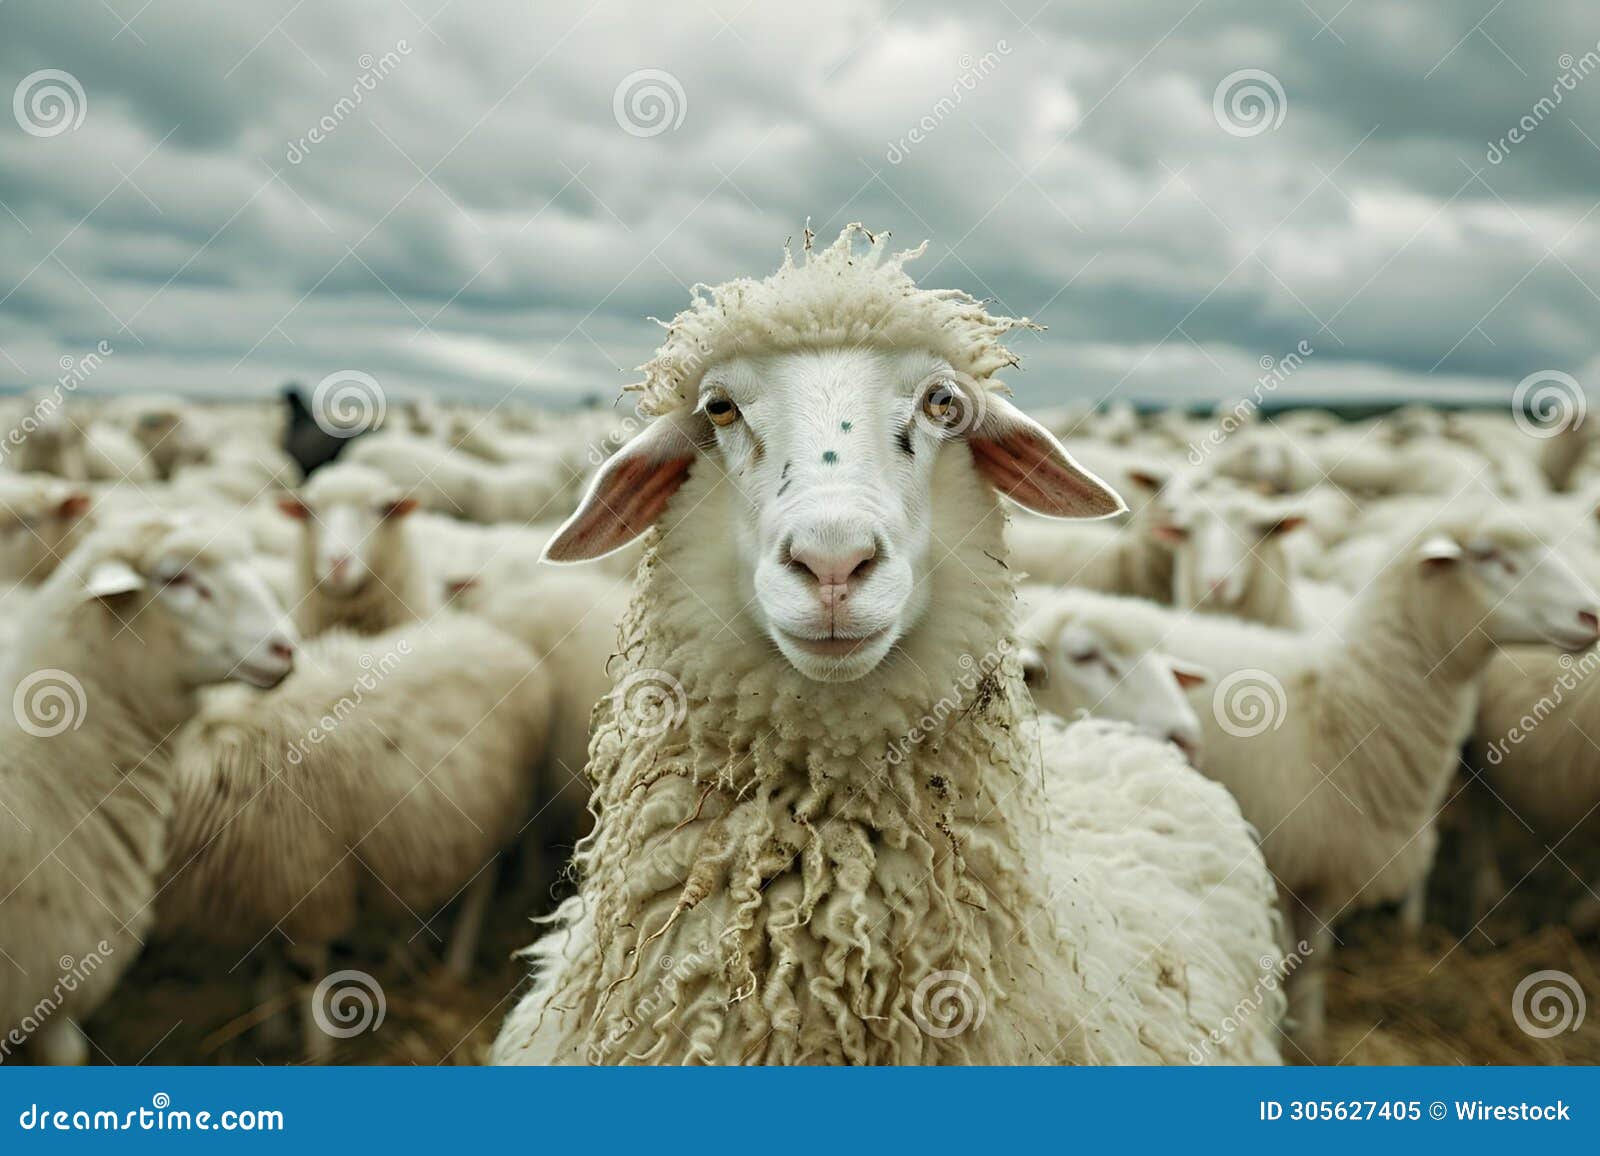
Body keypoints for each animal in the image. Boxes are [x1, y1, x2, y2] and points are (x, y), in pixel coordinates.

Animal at [156, 610, 552, 1060]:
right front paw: (272, 1030)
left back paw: (457, 960)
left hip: (496, 811)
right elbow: (265, 957)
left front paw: (318, 1049)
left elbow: (307, 974)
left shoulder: (306, 884)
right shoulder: (261, 883)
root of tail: (501, 639)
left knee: (481, 886)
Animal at [1020, 511, 1600, 1059]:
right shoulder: (1281, 855)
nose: (1590, 615)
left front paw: (1313, 1038)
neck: (1341, 700)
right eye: (1489, 556)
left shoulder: (1323, 862)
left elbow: (1313, 959)